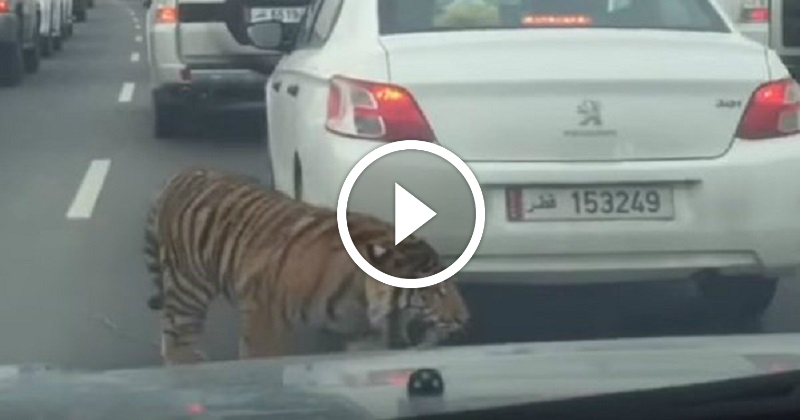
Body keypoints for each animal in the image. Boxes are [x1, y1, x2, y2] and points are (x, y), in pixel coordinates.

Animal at [144, 167, 469, 365]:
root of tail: (181, 173)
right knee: (177, 334)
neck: (361, 297)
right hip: (189, 286)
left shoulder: (363, 334)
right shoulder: (265, 316)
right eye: (435, 291)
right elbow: (262, 355)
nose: (463, 320)